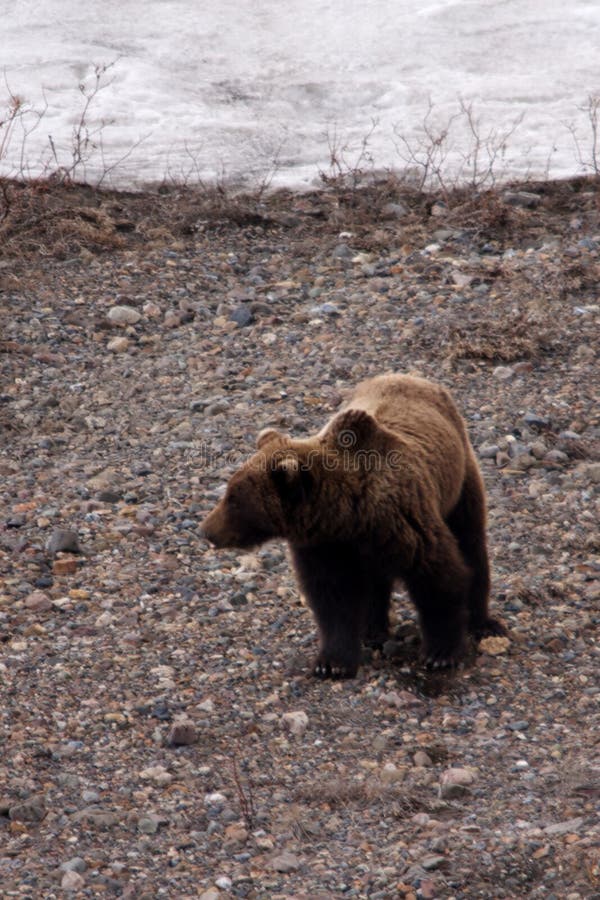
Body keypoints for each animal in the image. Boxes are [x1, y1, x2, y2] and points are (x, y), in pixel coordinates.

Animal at [200, 373, 506, 678]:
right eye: (228, 493)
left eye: (234, 500)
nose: (206, 530)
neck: (347, 517)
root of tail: (413, 377)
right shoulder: (325, 545)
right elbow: (334, 598)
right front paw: (332, 662)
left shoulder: (403, 524)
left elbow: (438, 578)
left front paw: (440, 654)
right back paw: (373, 629)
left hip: (460, 480)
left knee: (470, 543)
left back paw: (483, 622)